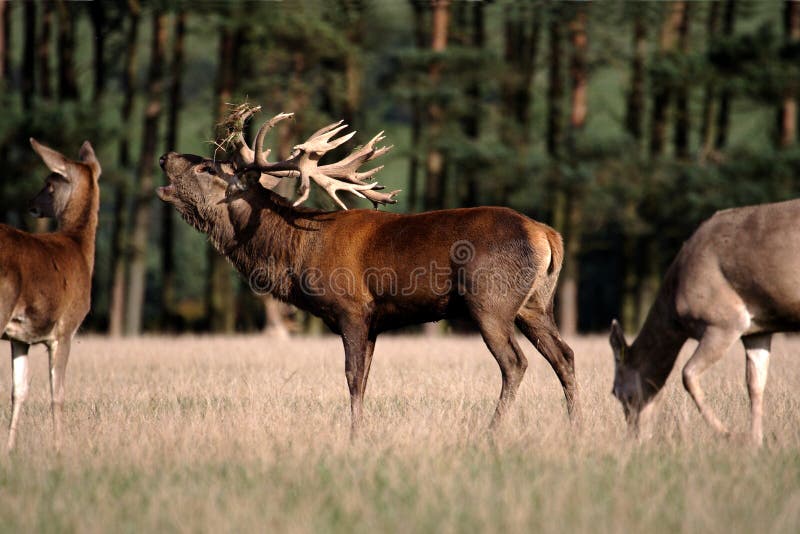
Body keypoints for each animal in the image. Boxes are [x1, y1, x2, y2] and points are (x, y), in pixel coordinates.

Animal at [1, 139, 101, 451]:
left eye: (49, 184)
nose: (31, 204)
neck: (79, 248)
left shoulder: (20, 337)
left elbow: (19, 391)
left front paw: (10, 449)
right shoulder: (65, 327)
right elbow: (58, 394)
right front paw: (59, 448)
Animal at [158, 105, 580, 435]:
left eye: (207, 167)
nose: (165, 156)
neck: (294, 250)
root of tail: (546, 234)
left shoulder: (352, 308)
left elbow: (353, 378)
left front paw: (355, 434)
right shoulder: (375, 321)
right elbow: (365, 377)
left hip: (491, 300)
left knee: (516, 362)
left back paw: (491, 432)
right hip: (534, 305)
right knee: (564, 354)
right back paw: (576, 425)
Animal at [610, 199, 800, 446]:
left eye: (619, 393)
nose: (635, 437)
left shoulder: (726, 320)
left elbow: (687, 374)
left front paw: (730, 434)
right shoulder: (757, 330)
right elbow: (755, 384)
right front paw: (756, 441)